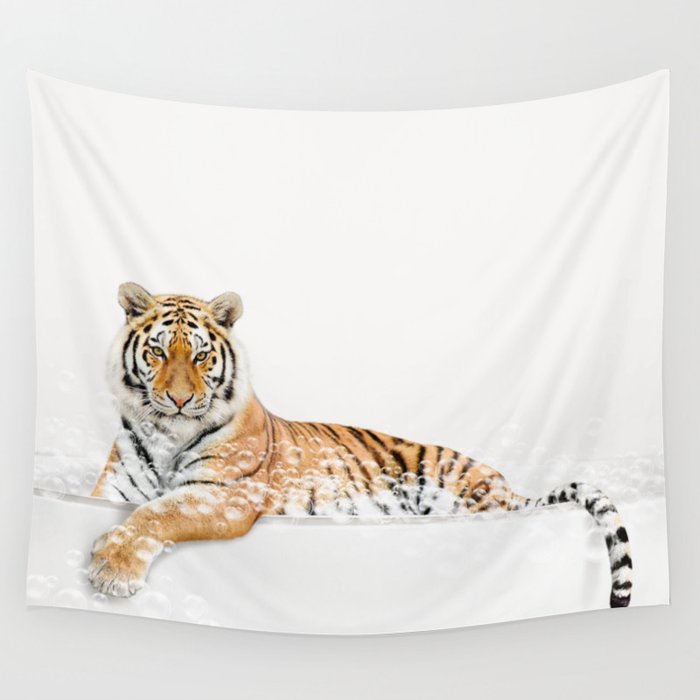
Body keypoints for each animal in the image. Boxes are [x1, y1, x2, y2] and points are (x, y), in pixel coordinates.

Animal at [88, 282, 633, 608]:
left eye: (201, 356)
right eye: (158, 351)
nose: (180, 400)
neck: (168, 435)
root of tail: (507, 486)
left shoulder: (227, 494)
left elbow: (159, 514)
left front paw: (110, 571)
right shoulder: (114, 491)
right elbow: (138, 507)